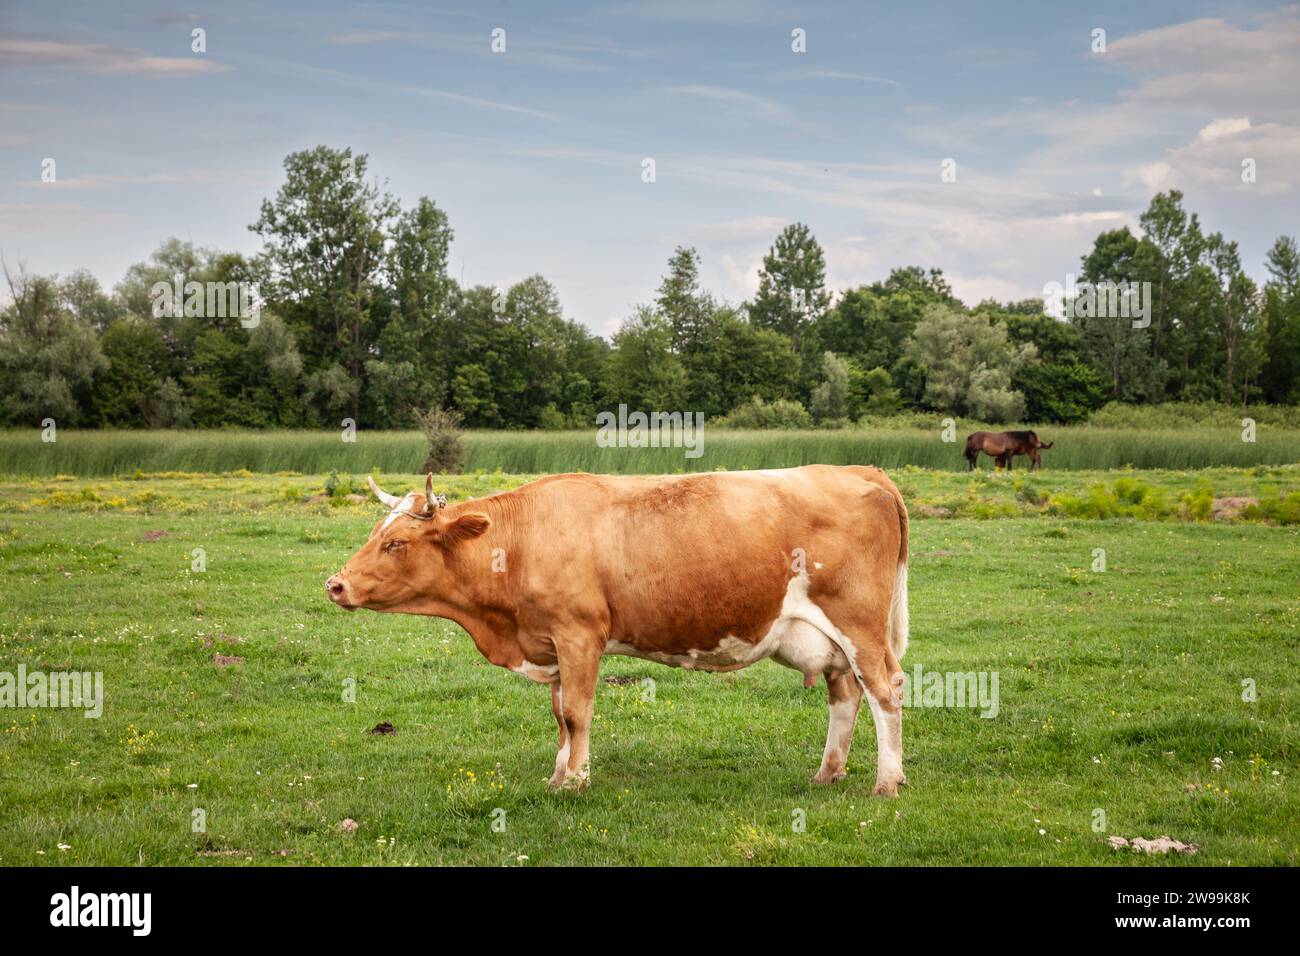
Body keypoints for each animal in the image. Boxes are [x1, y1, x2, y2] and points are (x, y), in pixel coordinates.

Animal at [326, 465, 911, 796]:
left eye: (396, 543)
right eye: (376, 533)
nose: (335, 584)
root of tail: (864, 470)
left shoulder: (579, 634)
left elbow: (578, 714)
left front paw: (576, 782)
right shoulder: (551, 642)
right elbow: (560, 716)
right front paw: (558, 774)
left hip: (859, 625)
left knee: (885, 690)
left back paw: (886, 782)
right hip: (830, 640)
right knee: (845, 693)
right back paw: (828, 773)